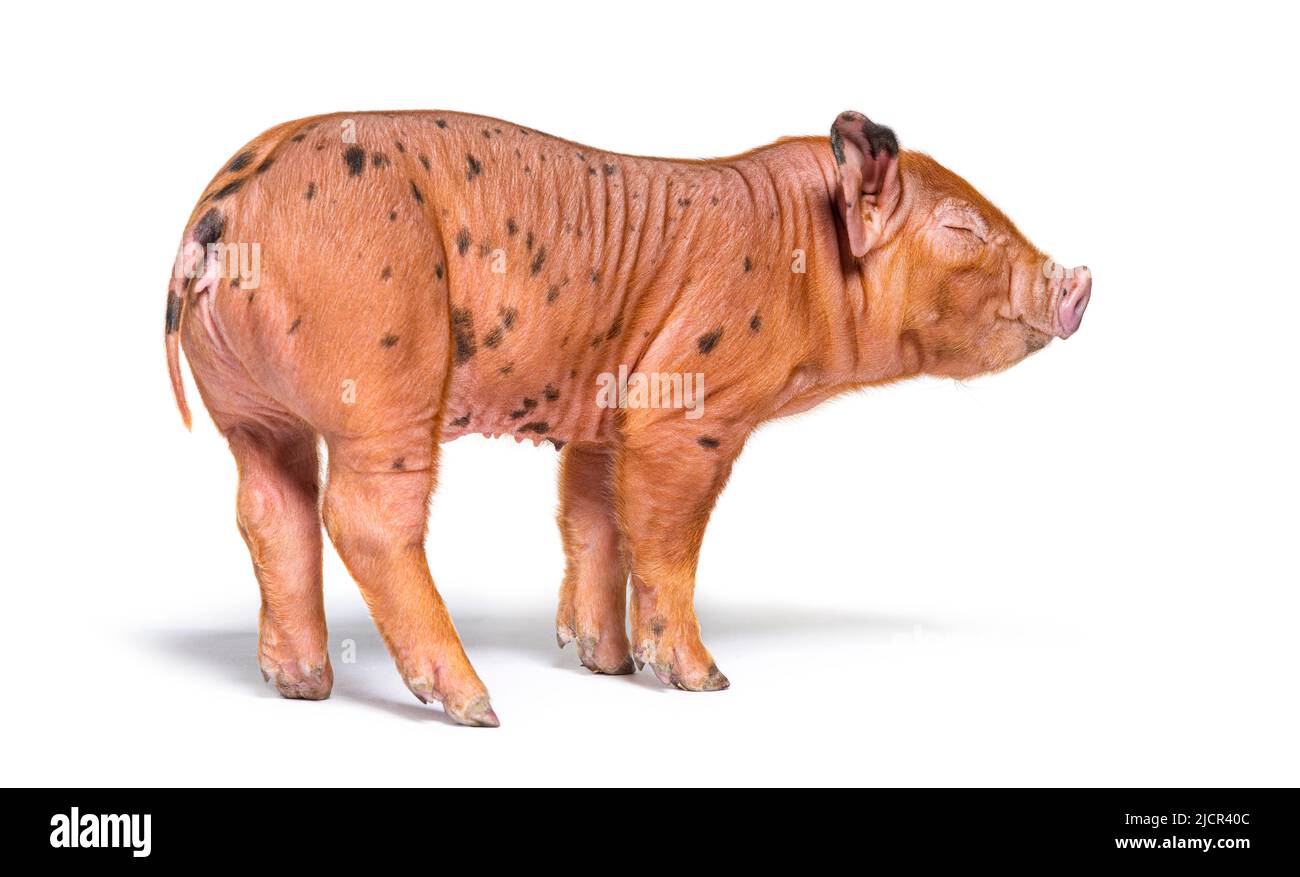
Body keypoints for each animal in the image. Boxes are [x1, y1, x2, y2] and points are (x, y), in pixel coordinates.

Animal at [165, 110, 1090, 726]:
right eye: (962, 228)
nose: (1078, 278)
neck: (807, 255)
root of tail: (224, 212)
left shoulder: (601, 418)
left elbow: (592, 520)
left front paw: (603, 663)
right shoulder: (687, 408)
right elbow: (665, 537)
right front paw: (705, 682)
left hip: (249, 408)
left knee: (268, 506)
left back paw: (300, 686)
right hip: (382, 369)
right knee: (363, 517)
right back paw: (477, 706)